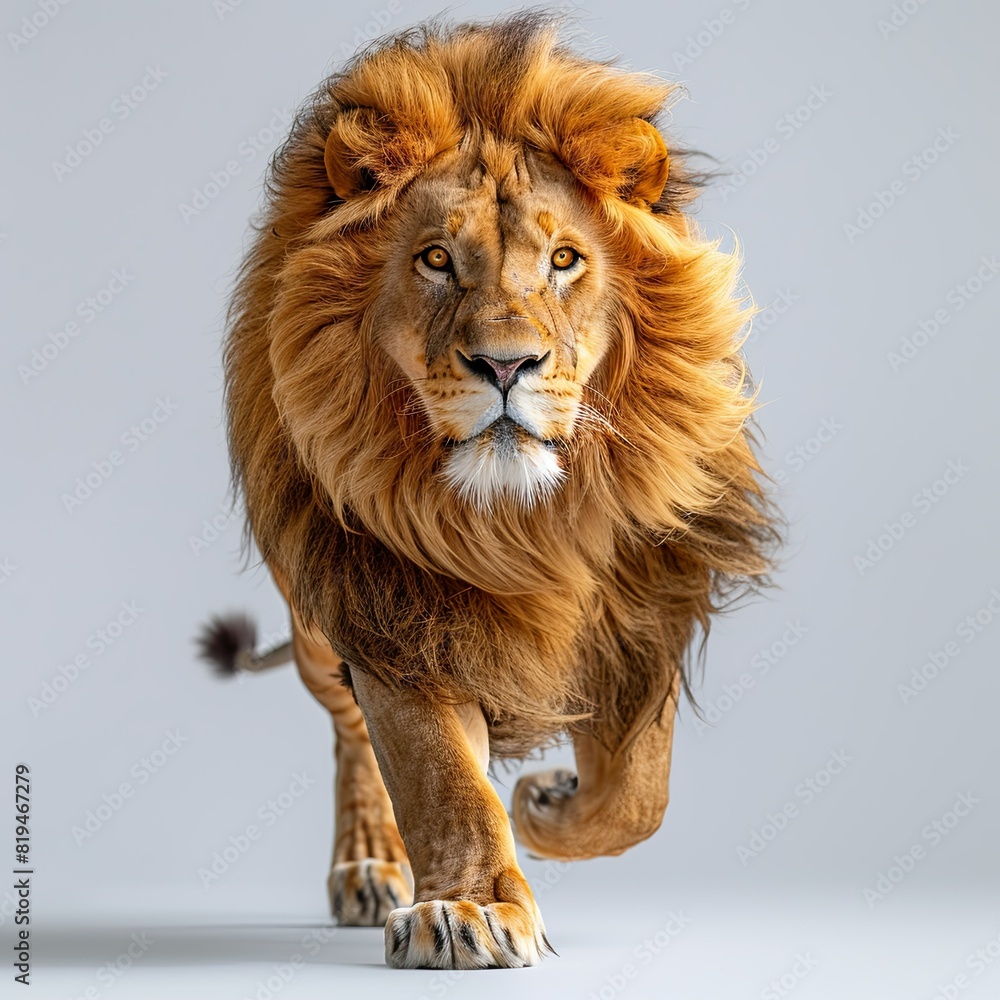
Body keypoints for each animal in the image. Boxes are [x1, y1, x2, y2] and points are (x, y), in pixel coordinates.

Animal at [197, 11, 778, 971]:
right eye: (437, 259)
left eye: (565, 260)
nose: (506, 365)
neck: (515, 523)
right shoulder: (394, 614)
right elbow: (442, 778)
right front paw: (468, 909)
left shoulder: (647, 605)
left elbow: (639, 791)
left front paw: (548, 807)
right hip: (315, 623)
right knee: (349, 733)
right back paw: (369, 863)